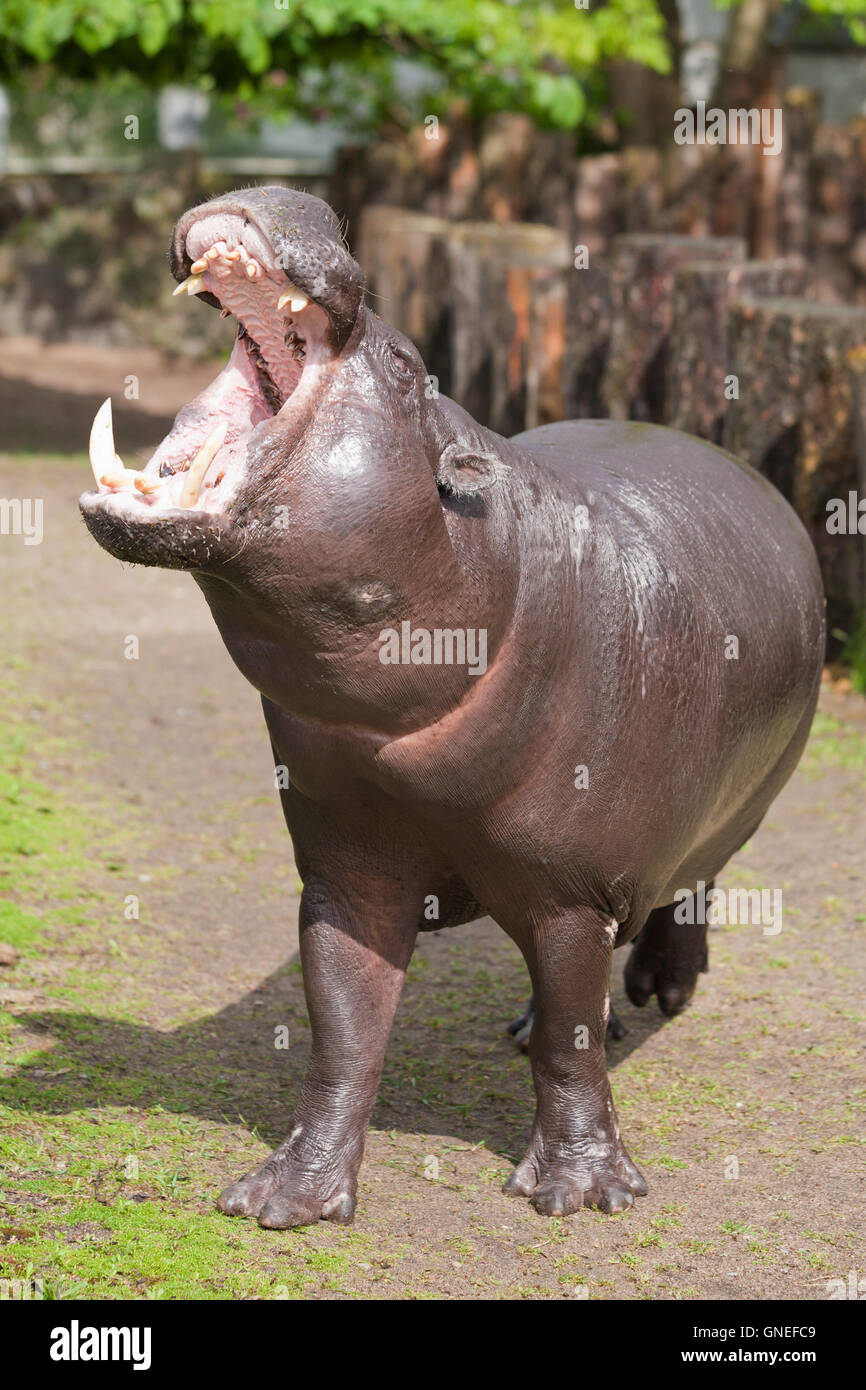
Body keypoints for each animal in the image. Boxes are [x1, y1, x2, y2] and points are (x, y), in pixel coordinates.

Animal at [79, 187, 825, 1226]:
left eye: (406, 364)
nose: (302, 198)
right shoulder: (348, 871)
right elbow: (343, 1033)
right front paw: (284, 1200)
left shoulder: (572, 889)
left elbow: (569, 1049)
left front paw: (580, 1195)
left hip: (729, 810)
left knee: (688, 891)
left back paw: (664, 993)